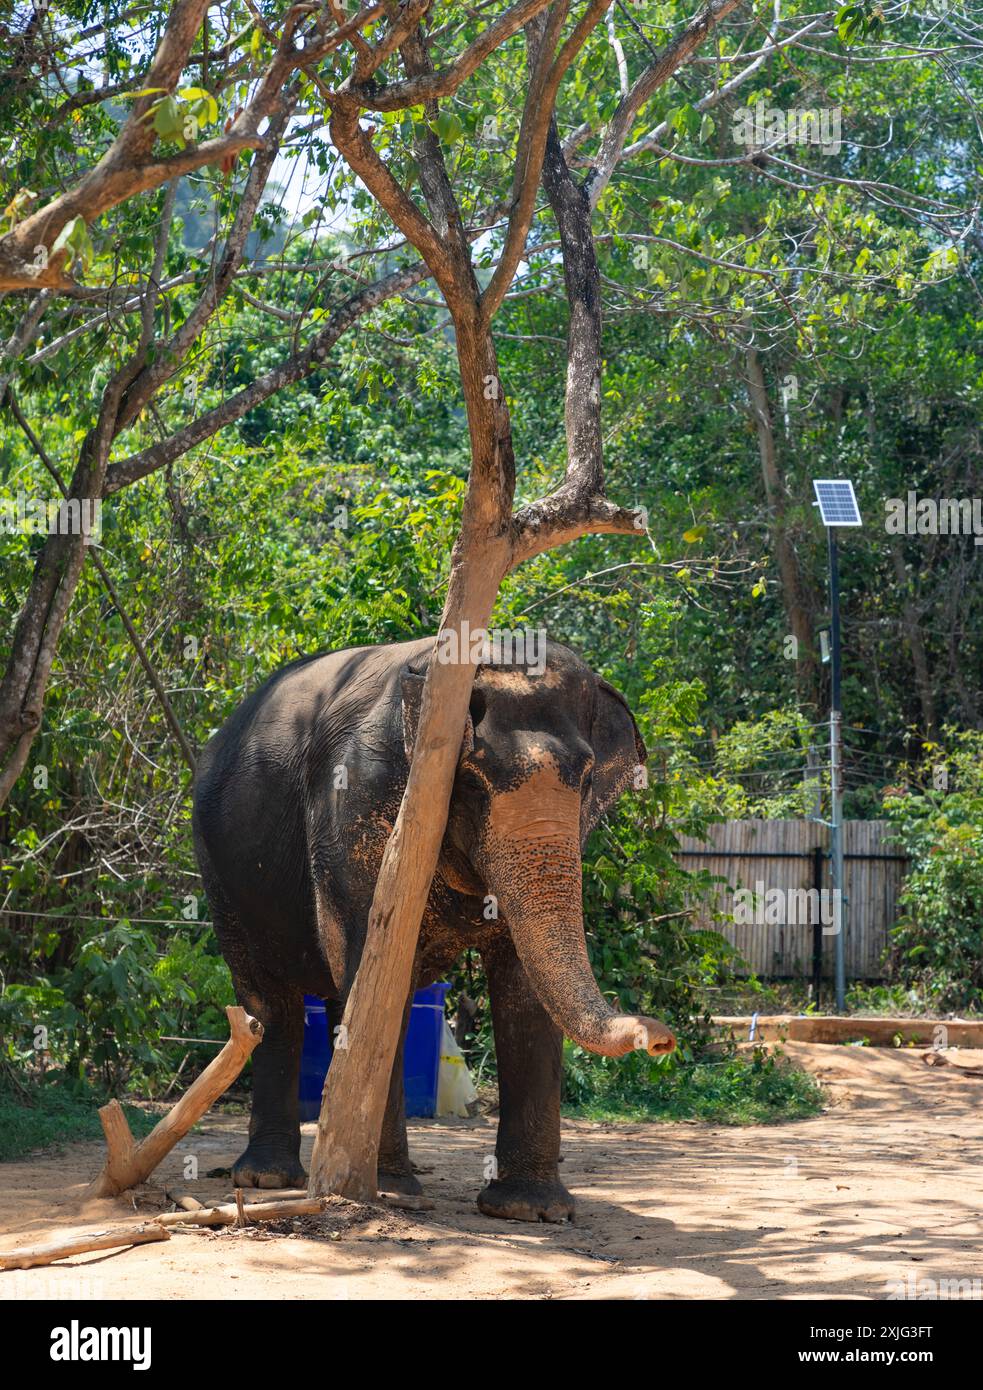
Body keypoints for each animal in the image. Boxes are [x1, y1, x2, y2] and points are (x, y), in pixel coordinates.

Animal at [192, 635, 675, 1223]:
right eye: (469, 780)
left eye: (584, 780)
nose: (660, 1039)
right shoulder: (357, 801)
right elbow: (380, 974)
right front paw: (397, 1194)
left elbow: (522, 990)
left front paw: (531, 1211)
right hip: (219, 872)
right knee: (270, 1003)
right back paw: (269, 1178)